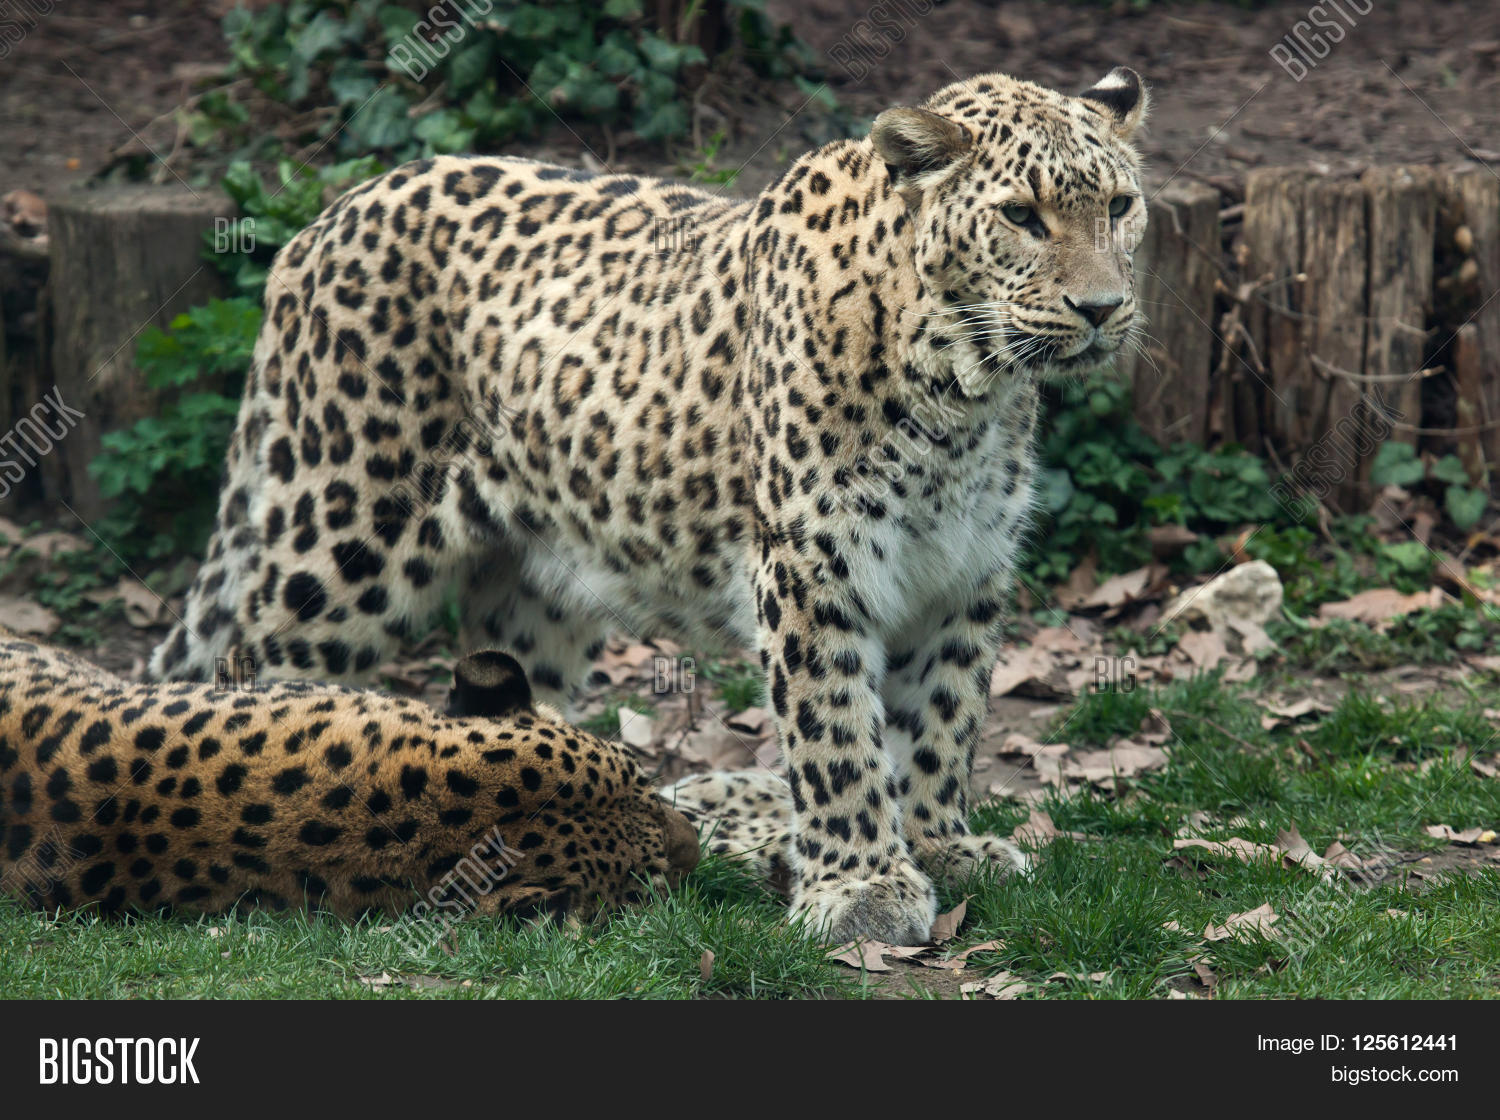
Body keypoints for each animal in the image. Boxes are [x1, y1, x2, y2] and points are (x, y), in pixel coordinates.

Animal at [150, 67, 1151, 944]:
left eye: (1120, 207)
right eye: (1020, 216)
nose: (1103, 308)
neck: (965, 392)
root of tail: (324, 219)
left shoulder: (962, 572)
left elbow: (940, 719)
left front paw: (943, 846)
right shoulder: (812, 566)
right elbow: (835, 730)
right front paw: (861, 888)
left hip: (531, 589)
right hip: (343, 540)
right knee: (251, 671)